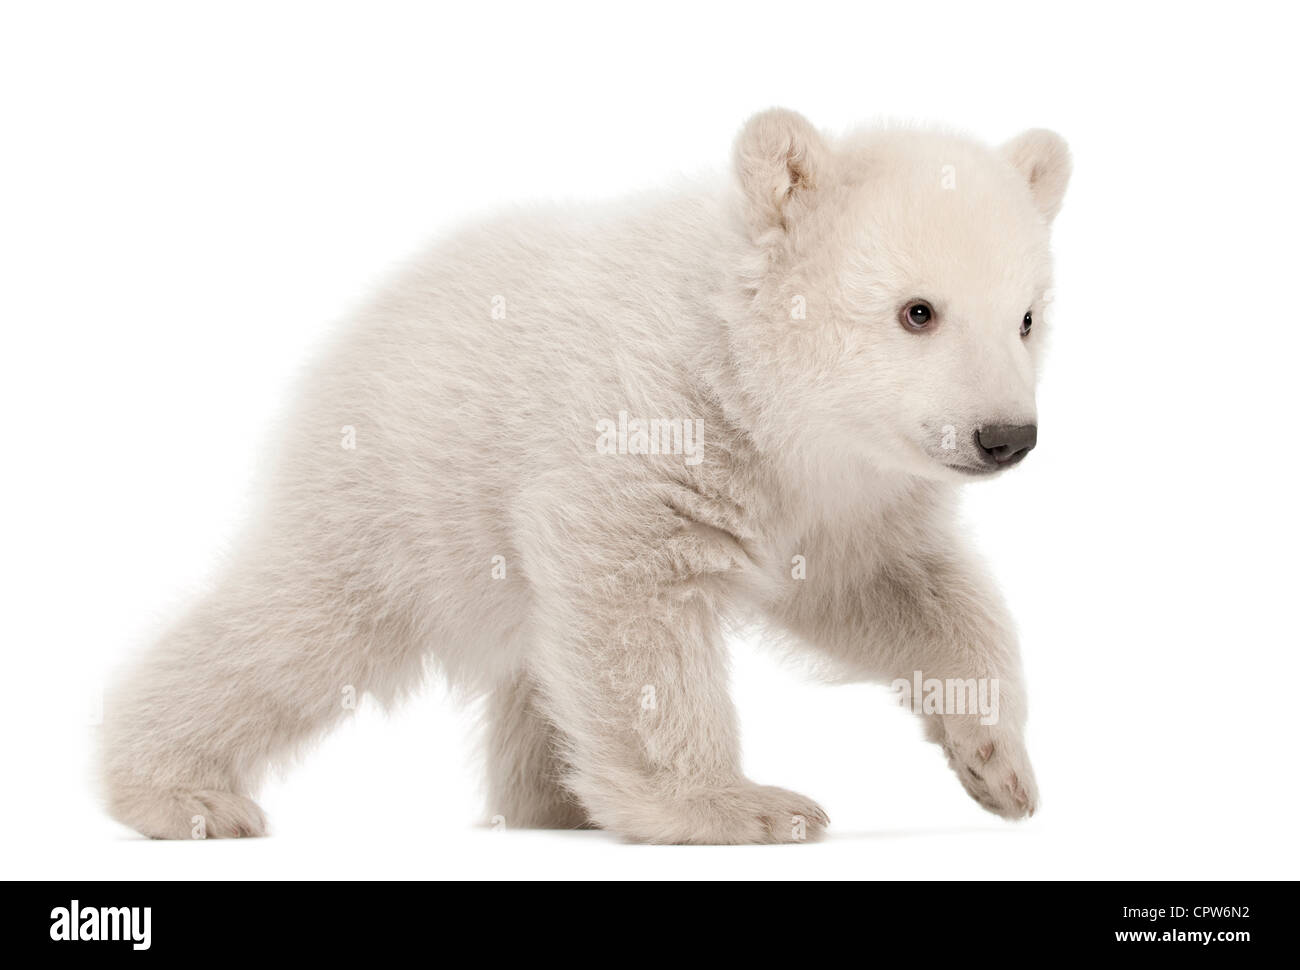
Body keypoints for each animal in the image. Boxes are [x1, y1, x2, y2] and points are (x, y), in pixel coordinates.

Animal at [100, 109, 1070, 844]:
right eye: (918, 310)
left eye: (1027, 317)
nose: (1005, 436)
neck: (749, 375)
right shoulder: (656, 422)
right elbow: (636, 605)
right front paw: (743, 808)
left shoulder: (845, 494)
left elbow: (896, 592)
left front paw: (996, 761)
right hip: (408, 486)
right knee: (297, 628)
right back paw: (180, 793)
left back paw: (553, 797)